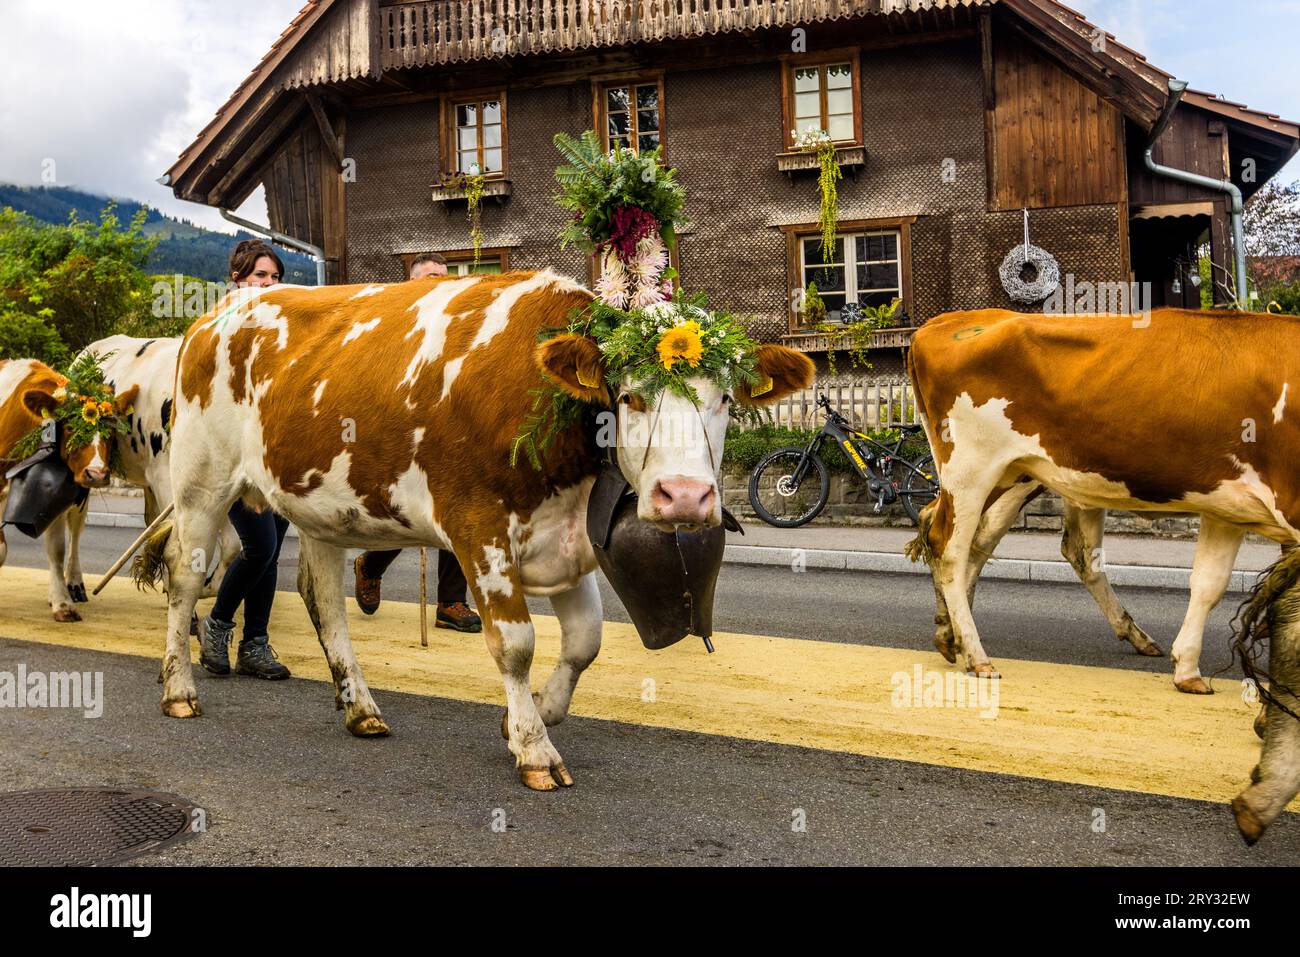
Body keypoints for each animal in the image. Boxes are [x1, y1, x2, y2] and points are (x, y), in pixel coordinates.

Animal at [0, 358, 137, 620]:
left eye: (111, 431)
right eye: (71, 427)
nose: (97, 474)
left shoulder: (53, 500)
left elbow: (57, 550)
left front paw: (62, 603)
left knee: (75, 533)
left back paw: (73, 583)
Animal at [160, 271, 813, 789]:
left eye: (724, 398)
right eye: (629, 397)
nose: (685, 496)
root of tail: (214, 314)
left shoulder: (564, 538)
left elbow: (585, 642)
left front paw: (532, 716)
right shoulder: (479, 529)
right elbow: (517, 644)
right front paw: (534, 747)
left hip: (320, 506)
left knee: (323, 600)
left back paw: (360, 708)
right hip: (201, 483)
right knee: (184, 580)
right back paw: (179, 692)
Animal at [908, 307, 1299, 693]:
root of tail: (947, 321)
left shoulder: (1225, 509)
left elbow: (1208, 584)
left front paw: (1187, 669)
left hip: (1013, 474)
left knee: (960, 533)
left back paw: (950, 636)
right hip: (972, 470)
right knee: (951, 548)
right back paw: (976, 655)